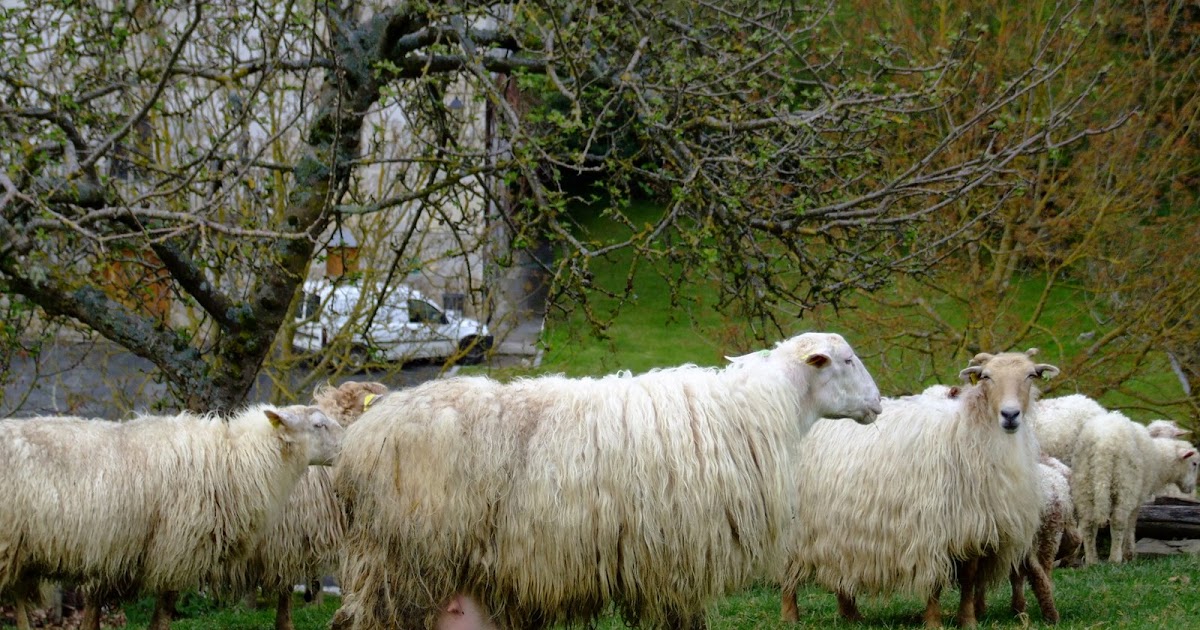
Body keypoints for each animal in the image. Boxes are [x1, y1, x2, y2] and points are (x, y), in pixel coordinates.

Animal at [0, 404, 343, 630]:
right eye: (318, 425)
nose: (348, 445)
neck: (237, 458)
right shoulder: (175, 551)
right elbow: (163, 614)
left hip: (20, 551)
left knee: (17, 598)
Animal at [330, 332, 882, 630]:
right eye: (847, 360)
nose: (878, 405)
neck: (758, 410)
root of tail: (362, 435)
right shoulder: (675, 560)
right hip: (402, 558)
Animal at [780, 349, 1057, 628]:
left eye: (1030, 376)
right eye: (987, 377)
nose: (1010, 415)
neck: (966, 432)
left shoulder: (974, 528)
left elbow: (968, 578)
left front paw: (967, 620)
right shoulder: (930, 529)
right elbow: (934, 582)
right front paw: (933, 621)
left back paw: (851, 614)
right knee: (787, 571)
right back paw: (790, 615)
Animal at [1072, 412, 1198, 564]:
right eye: (1194, 463)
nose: (1191, 488)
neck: (1159, 459)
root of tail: (1104, 444)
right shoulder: (1139, 495)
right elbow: (1131, 523)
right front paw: (1129, 553)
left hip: (1083, 482)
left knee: (1088, 523)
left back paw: (1092, 561)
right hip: (1125, 482)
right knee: (1118, 520)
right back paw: (1115, 558)